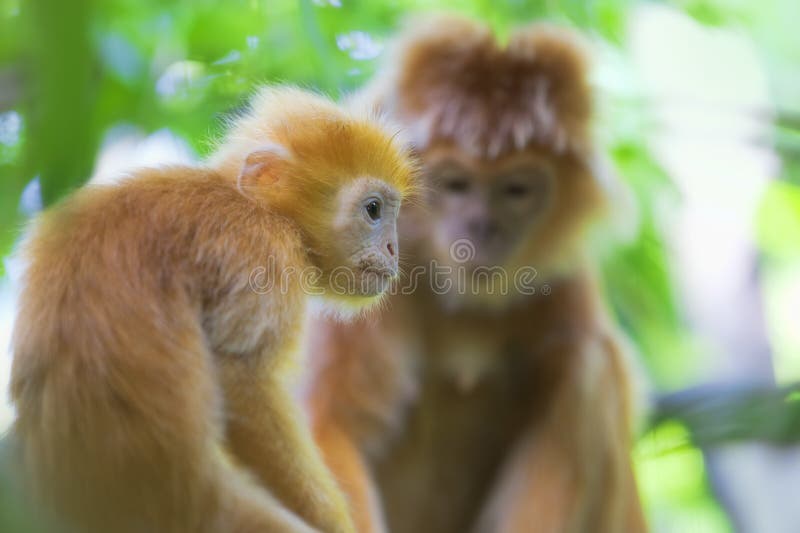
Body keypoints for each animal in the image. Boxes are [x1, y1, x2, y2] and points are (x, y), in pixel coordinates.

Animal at [303, 15, 647, 533]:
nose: (482, 227)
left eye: (516, 189)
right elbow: (333, 423)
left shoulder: (564, 277)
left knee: (586, 370)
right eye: (456, 184)